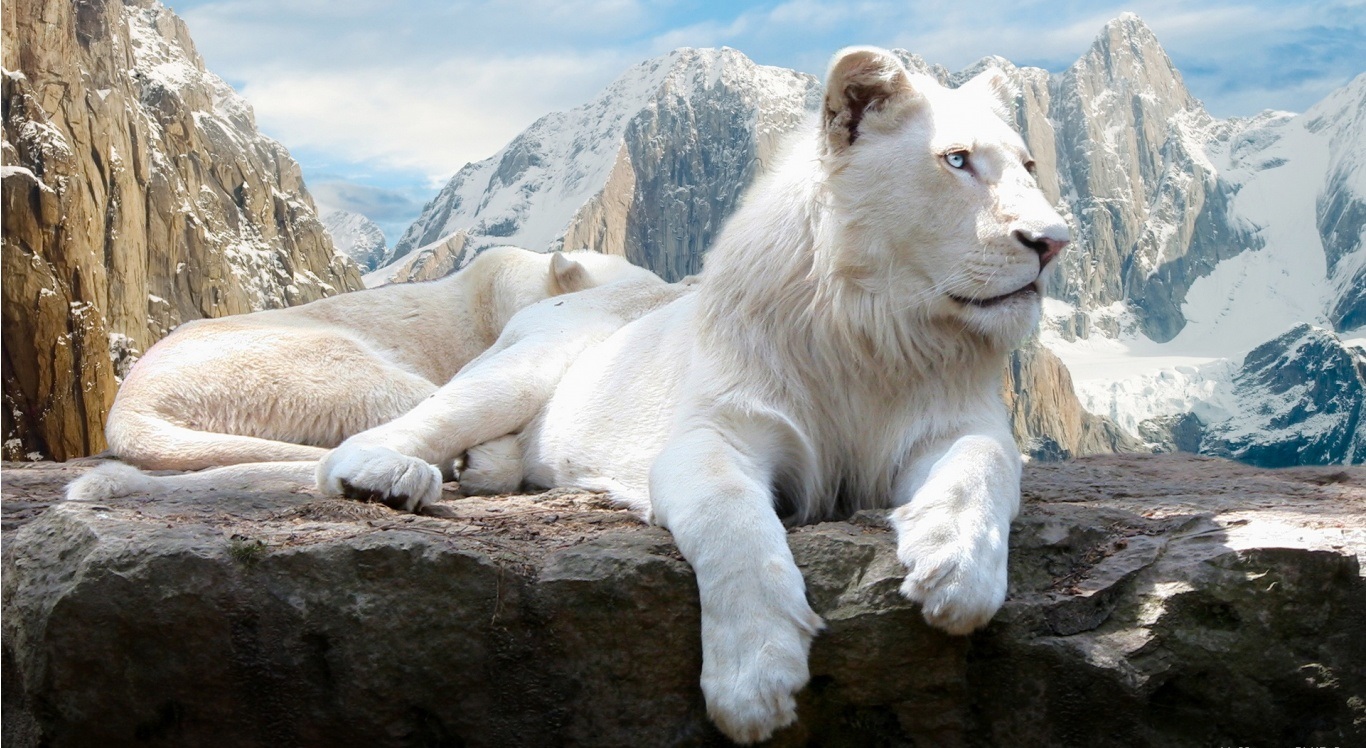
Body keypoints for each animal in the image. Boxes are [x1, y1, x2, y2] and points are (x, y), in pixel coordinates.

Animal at [314, 47, 1069, 743]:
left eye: (1029, 165)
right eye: (958, 160)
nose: (1054, 241)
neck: (876, 328)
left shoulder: (955, 425)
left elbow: (982, 466)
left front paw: (955, 567)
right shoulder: (715, 432)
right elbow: (732, 521)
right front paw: (755, 679)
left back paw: (481, 470)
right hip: (522, 369)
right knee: (388, 434)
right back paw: (389, 475)